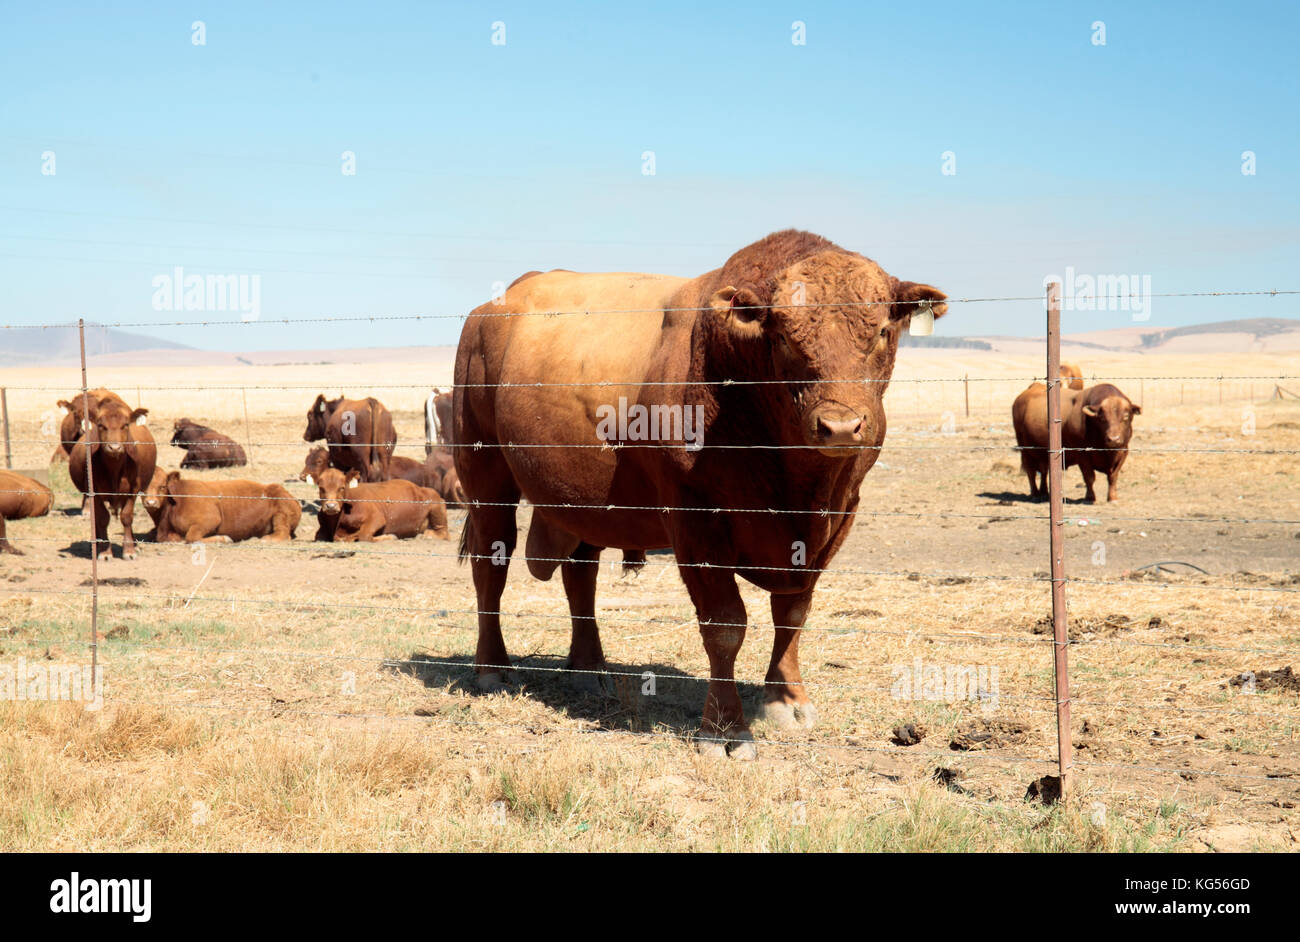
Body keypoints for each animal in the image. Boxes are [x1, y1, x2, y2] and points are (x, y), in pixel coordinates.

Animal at [67, 393, 156, 560]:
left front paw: (129, 550)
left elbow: (127, 517)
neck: (114, 469)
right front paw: (105, 551)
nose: (114, 447)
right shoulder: (94, 492)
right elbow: (102, 518)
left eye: (125, 425)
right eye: (101, 425)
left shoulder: (133, 490)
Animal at [153, 471, 301, 543]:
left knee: (283, 533)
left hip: (281, 512)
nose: (151, 502)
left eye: (162, 486)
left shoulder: (210, 519)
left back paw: (263, 539)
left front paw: (224, 539)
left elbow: (191, 537)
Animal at [307, 467, 448, 542]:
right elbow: (319, 536)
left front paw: (389, 536)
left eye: (341, 488)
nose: (331, 506)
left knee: (443, 532)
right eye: (321, 488)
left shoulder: (377, 518)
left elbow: (364, 535)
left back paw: (426, 535)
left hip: (437, 507)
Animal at [453, 229, 948, 758]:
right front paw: (726, 730)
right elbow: (725, 625)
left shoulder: (839, 516)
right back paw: (492, 668)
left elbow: (793, 612)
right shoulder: (695, 519)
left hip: (584, 500)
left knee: (580, 575)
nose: (839, 427)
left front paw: (786, 699)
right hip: (485, 477)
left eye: (883, 330)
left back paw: (589, 668)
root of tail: (490, 308)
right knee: (490, 567)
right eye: (785, 337)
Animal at [1012, 381, 1141, 502]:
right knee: (1031, 471)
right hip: (1025, 449)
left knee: (1044, 471)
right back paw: (1035, 494)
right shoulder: (1082, 455)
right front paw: (1090, 497)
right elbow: (1089, 477)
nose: (1113, 439)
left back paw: (1044, 493)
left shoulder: (1123, 451)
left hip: (1042, 454)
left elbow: (1113, 476)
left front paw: (1113, 498)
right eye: (1102, 418)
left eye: (1126, 416)